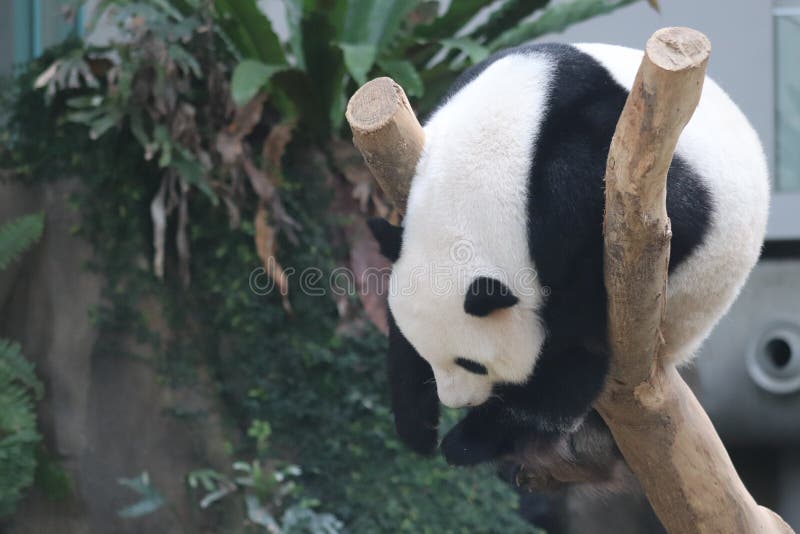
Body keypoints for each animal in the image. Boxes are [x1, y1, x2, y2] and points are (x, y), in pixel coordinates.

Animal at [367, 43, 769, 469]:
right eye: (425, 354)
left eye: (472, 363)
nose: (457, 400)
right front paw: (416, 422)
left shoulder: (611, 195)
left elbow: (575, 343)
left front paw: (474, 436)